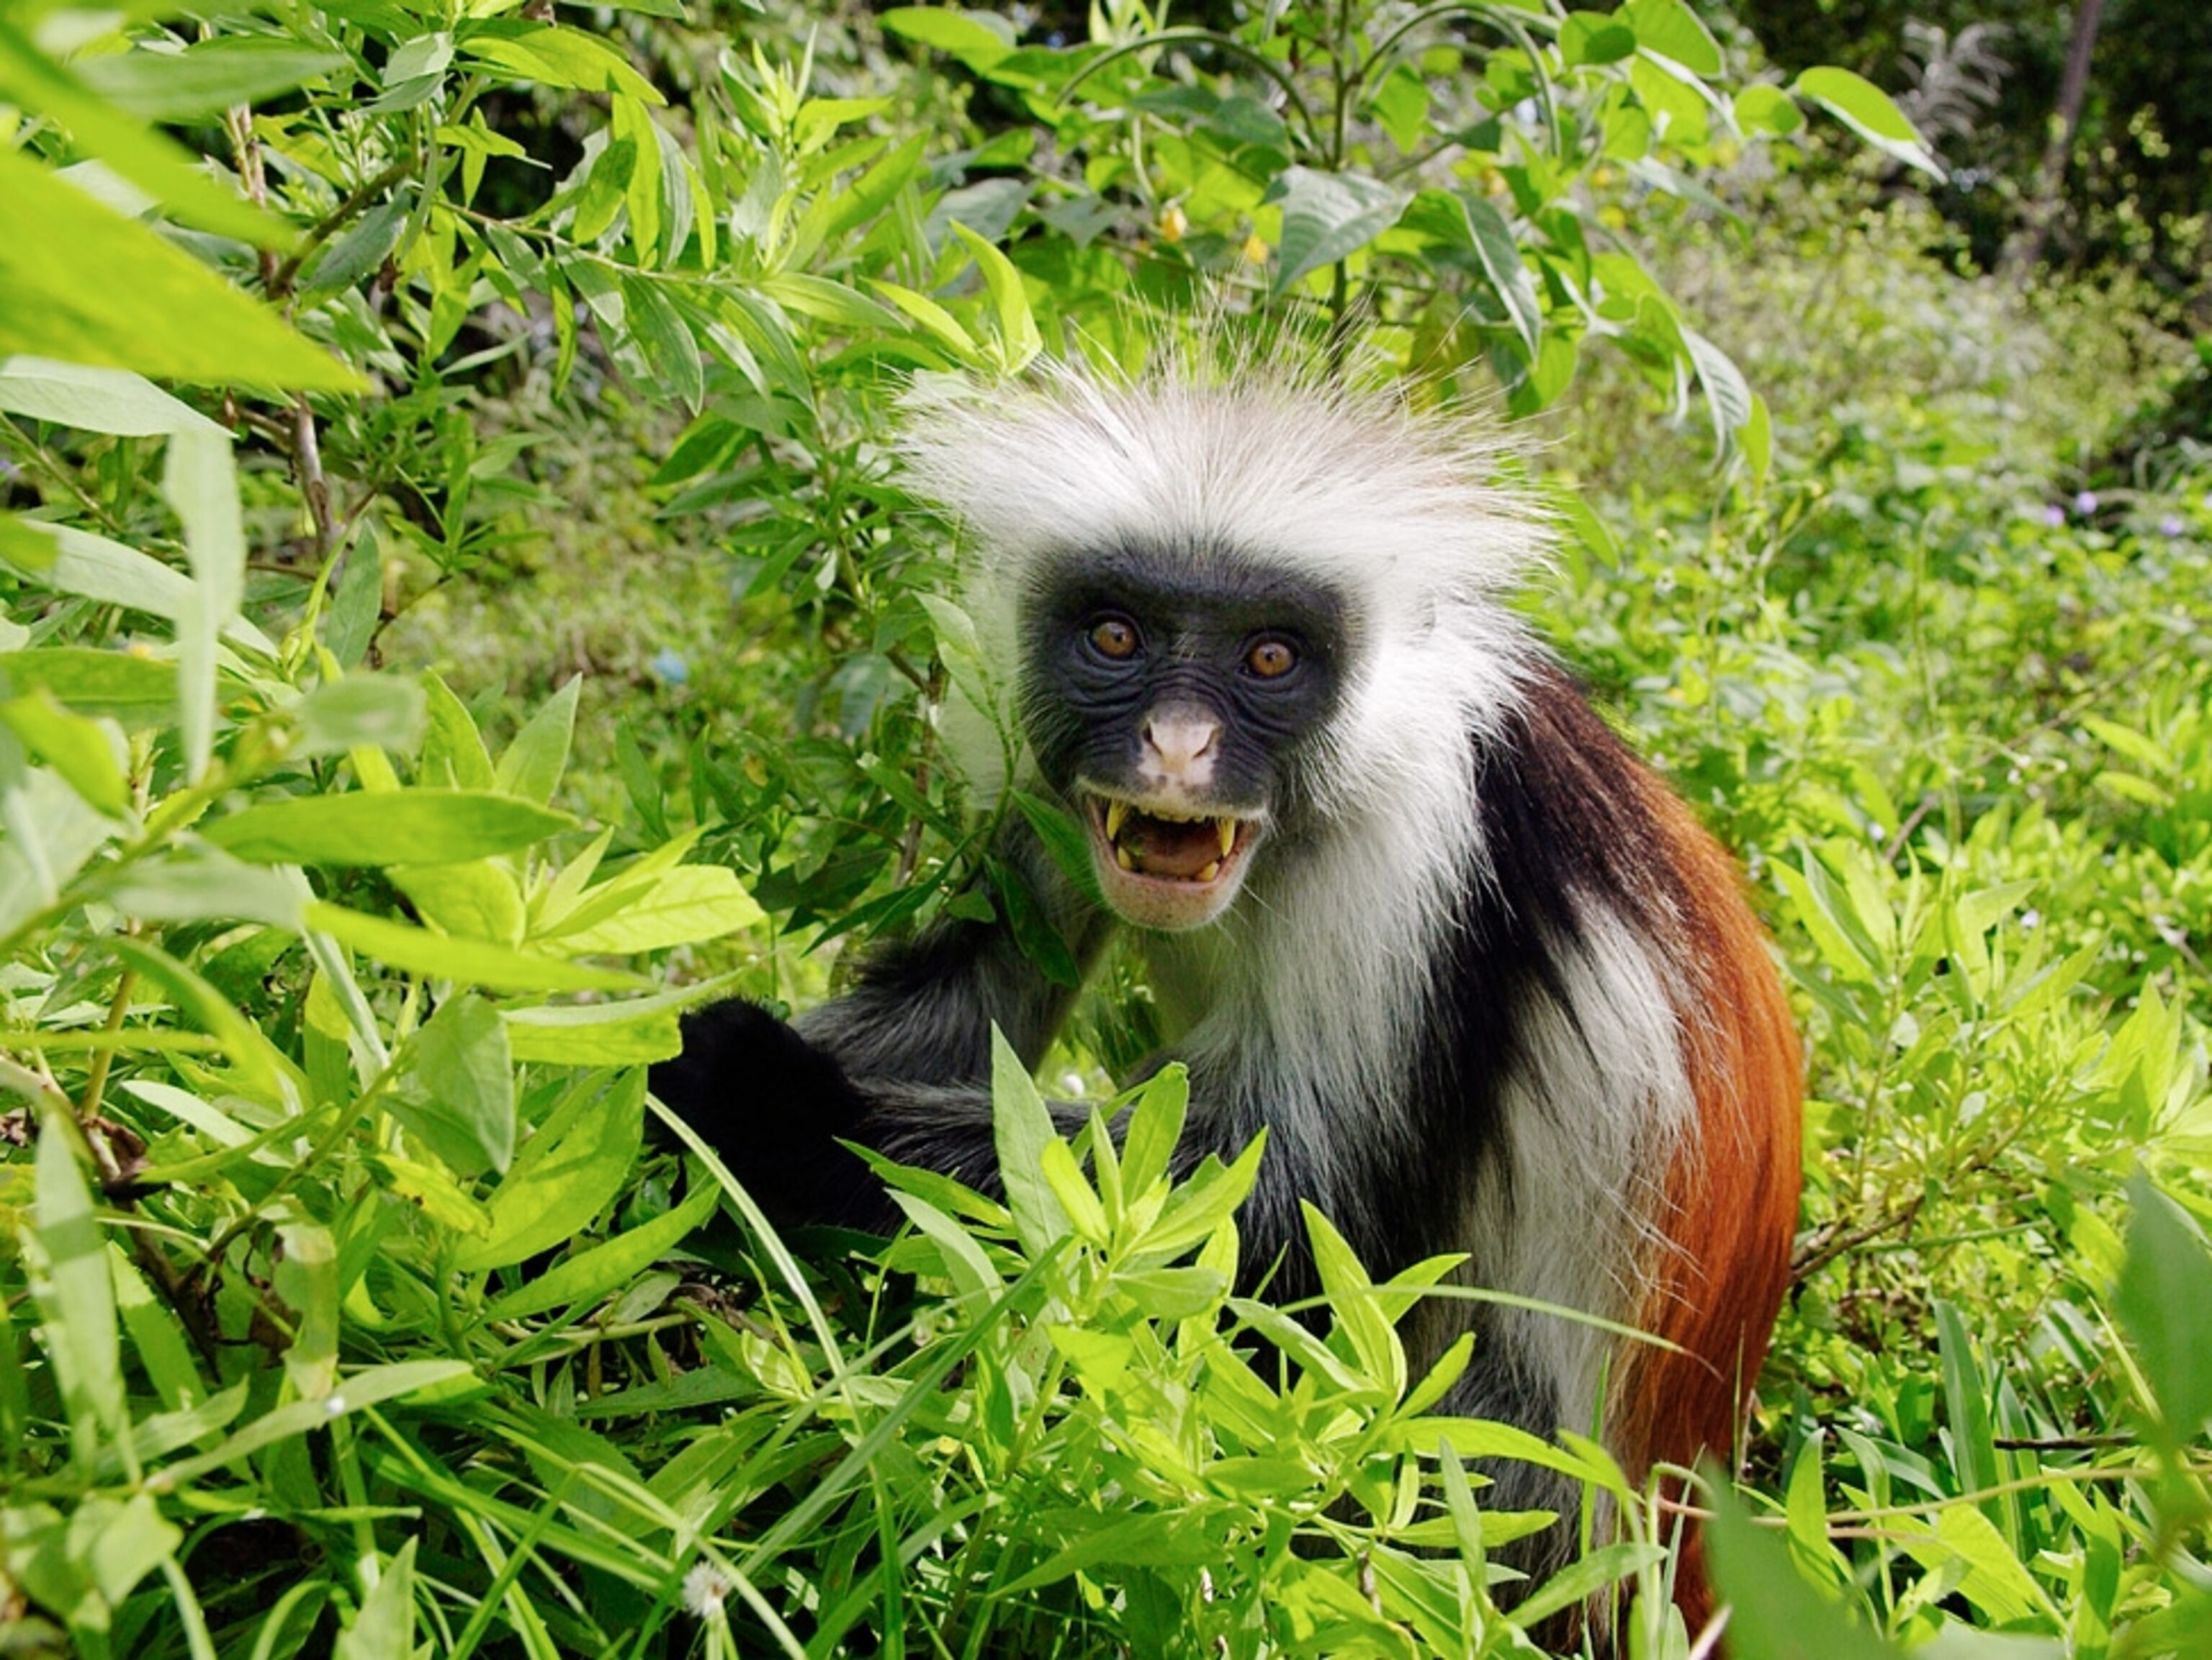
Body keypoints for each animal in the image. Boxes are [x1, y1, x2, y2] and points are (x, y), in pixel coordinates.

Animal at [651, 361, 1802, 1636]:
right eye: (1116, 634)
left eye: (1270, 659)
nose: (1173, 746)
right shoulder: (1038, 767)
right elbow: (972, 1001)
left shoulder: (1413, 855)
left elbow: (1286, 1218)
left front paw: (753, 1094)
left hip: (1520, 1494)